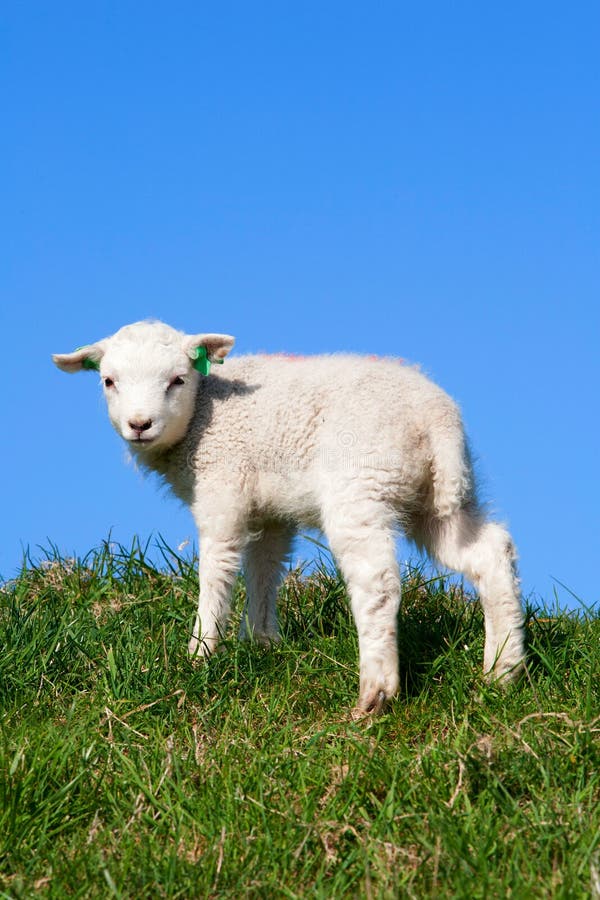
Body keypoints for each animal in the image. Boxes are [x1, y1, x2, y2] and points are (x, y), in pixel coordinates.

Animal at [53, 320, 525, 714]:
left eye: (177, 380)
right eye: (108, 381)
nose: (139, 424)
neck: (204, 411)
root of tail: (438, 420)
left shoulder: (222, 488)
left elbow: (217, 569)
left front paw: (201, 652)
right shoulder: (269, 512)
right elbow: (264, 569)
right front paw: (262, 643)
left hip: (362, 484)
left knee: (378, 583)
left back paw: (375, 693)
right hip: (433, 497)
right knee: (489, 552)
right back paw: (503, 670)